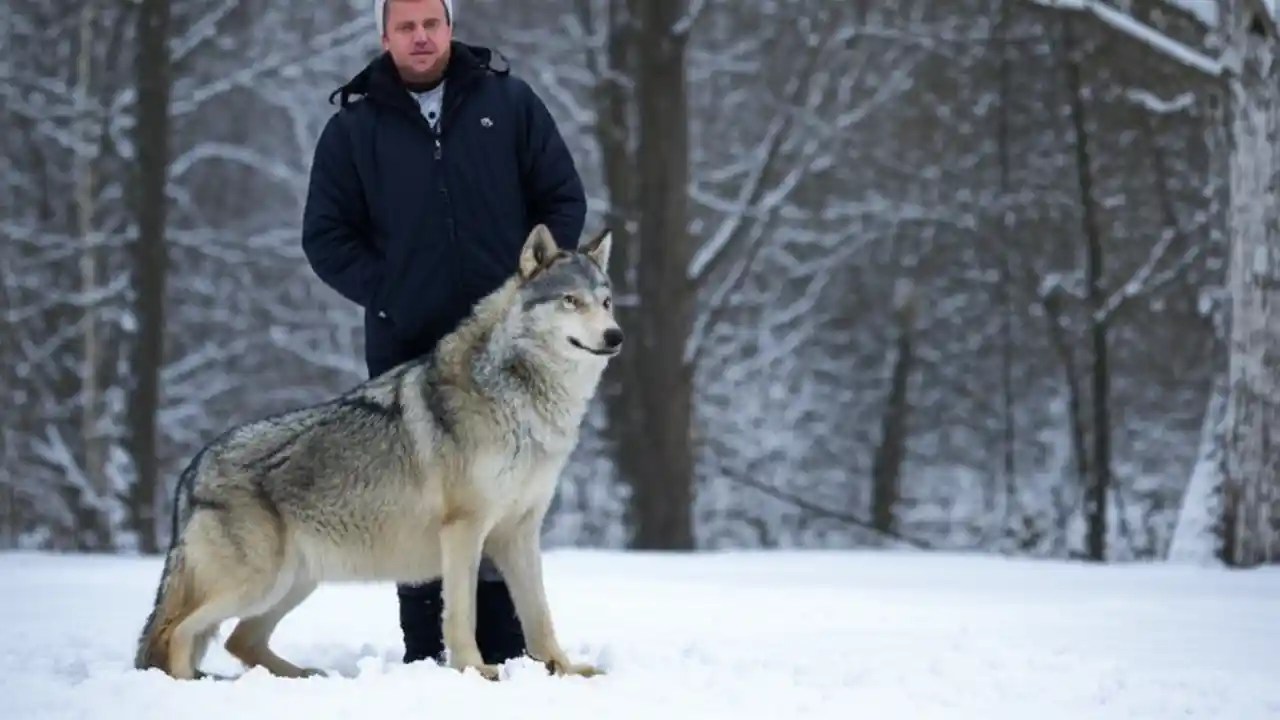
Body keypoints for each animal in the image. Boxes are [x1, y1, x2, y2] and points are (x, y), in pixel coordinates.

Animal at [134, 225, 620, 681]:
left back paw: (306, 676)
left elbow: (539, 615)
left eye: (606, 302)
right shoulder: (464, 530)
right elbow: (462, 614)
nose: (614, 336)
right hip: (259, 582)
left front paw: (565, 669)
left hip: (292, 584)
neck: (519, 394)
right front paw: (475, 669)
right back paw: (194, 684)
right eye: (570, 301)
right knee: (177, 633)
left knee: (238, 640)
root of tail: (191, 472)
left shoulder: (519, 532)